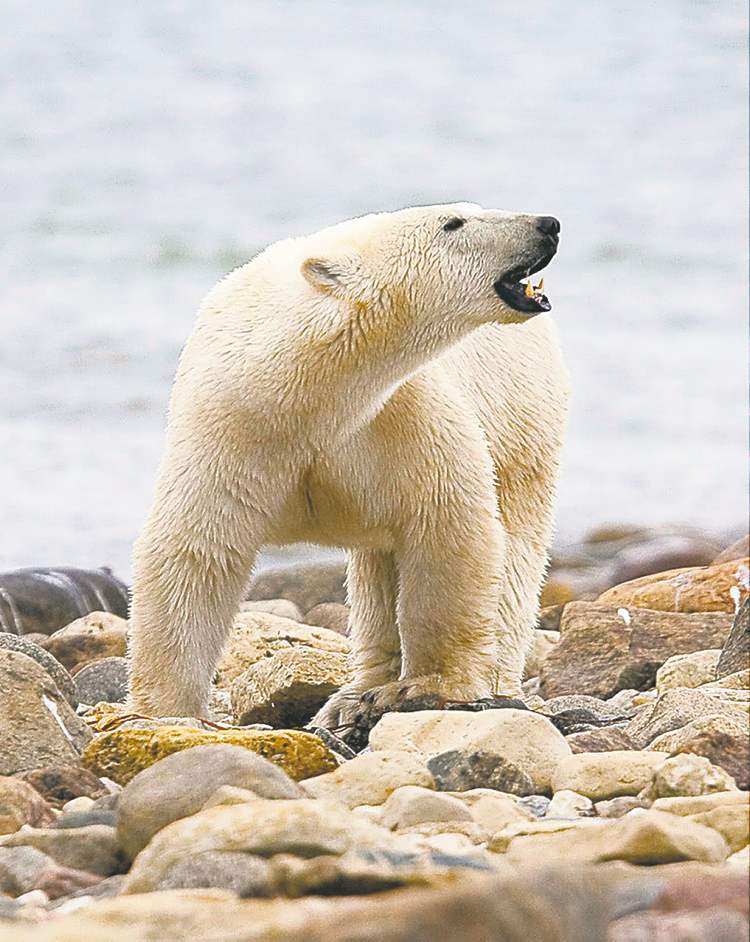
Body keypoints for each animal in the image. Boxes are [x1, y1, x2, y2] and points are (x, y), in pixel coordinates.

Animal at [127, 203, 569, 726]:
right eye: (454, 223)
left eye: (475, 209)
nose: (547, 224)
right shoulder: (230, 430)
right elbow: (198, 551)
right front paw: (163, 710)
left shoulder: (401, 418)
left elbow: (446, 529)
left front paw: (429, 684)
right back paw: (352, 695)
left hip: (522, 427)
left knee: (515, 553)